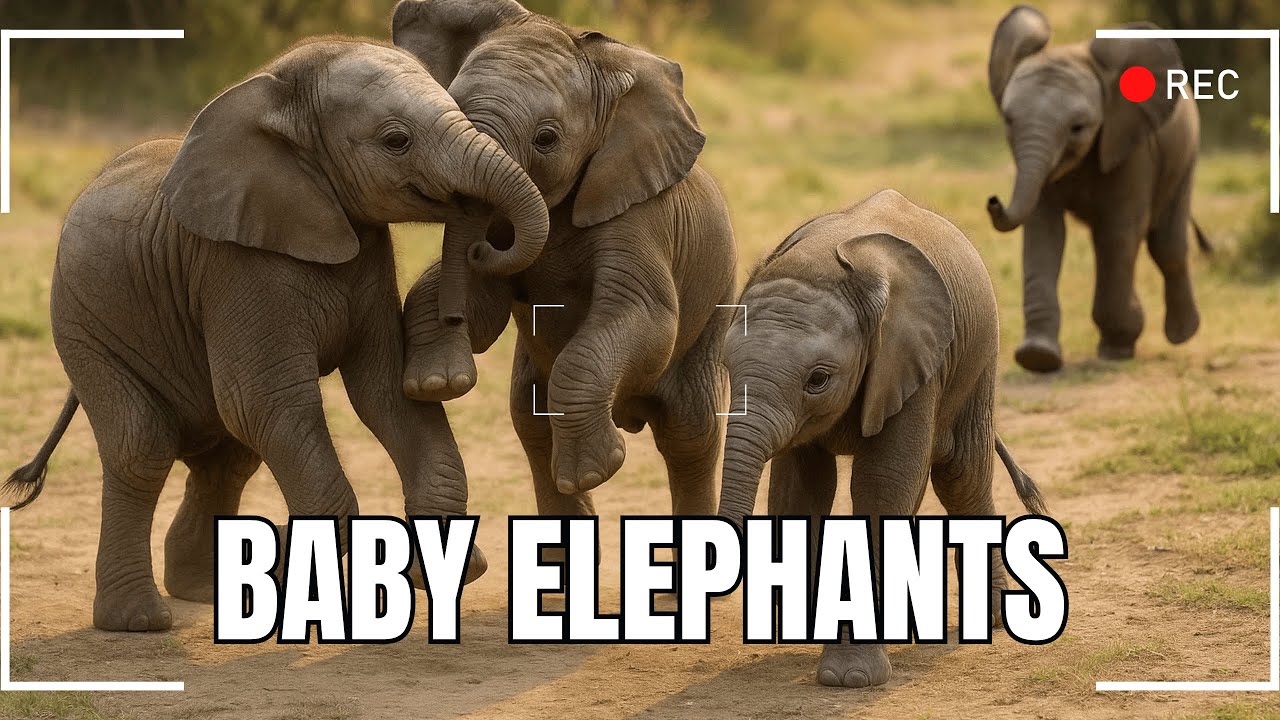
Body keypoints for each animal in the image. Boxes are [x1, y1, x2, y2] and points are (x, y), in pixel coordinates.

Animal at [4, 39, 549, 631]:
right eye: (396, 141)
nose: (484, 241)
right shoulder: (235, 264)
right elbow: (266, 402)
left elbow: (381, 392)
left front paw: (455, 568)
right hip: (83, 322)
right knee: (143, 444)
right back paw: (138, 621)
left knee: (228, 457)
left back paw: (205, 590)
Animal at [390, 0, 737, 518]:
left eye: (547, 139)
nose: (481, 247)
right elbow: (484, 308)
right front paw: (436, 383)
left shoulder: (641, 215)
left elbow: (644, 315)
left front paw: (597, 470)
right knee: (530, 422)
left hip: (712, 322)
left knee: (689, 435)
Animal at [716, 190, 1048, 687]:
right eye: (726, 366)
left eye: (818, 379)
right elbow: (801, 491)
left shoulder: (912, 358)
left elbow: (883, 483)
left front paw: (851, 679)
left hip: (979, 357)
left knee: (962, 478)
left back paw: (989, 623)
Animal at [986, 5, 1209, 373]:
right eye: (1008, 121)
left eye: (1077, 128)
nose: (993, 201)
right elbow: (1044, 231)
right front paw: (1038, 357)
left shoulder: (1133, 146)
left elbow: (1118, 231)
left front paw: (1117, 349)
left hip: (1186, 153)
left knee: (1166, 244)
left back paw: (1182, 334)